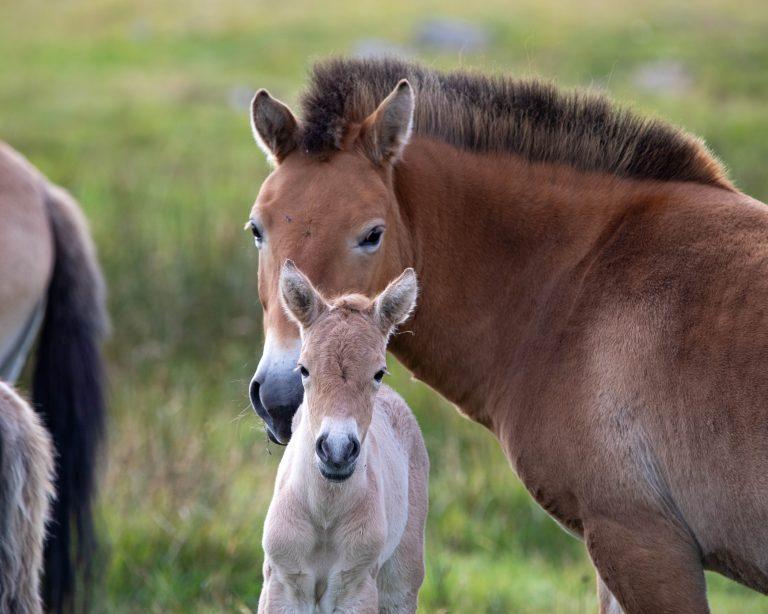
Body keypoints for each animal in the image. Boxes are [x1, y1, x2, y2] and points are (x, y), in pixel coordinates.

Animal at [259, 262, 428, 613]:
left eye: (379, 372)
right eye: (303, 369)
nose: (337, 450)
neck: (325, 514)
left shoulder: (356, 588)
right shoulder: (280, 584)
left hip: (401, 580)